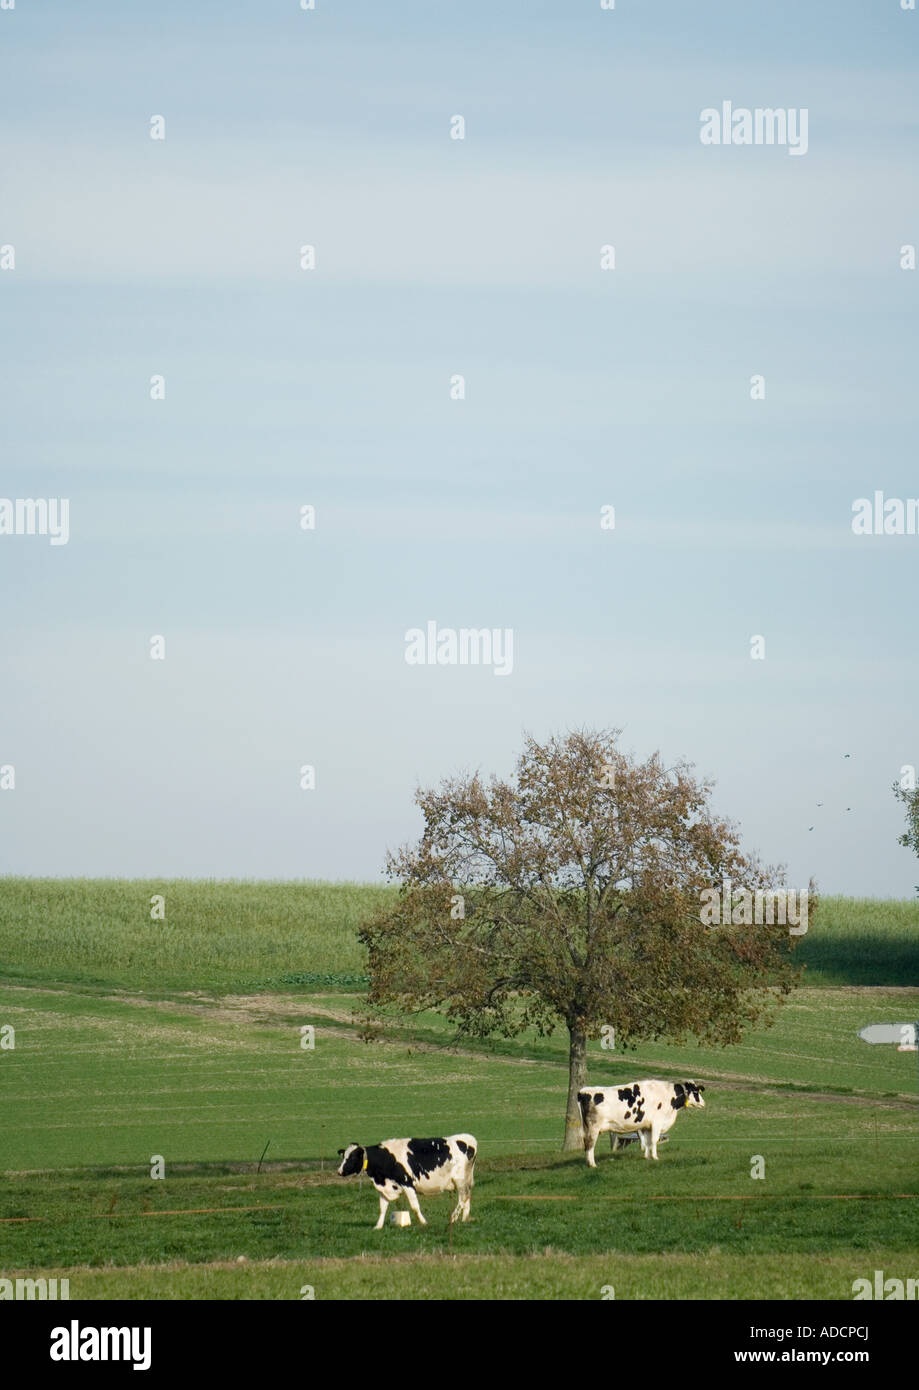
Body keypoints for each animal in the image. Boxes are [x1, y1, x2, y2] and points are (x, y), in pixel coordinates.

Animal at [337, 1134, 477, 1229]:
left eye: (352, 1157)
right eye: (344, 1156)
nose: (339, 1171)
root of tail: (468, 1138)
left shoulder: (407, 1184)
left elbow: (415, 1206)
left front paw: (424, 1222)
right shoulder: (384, 1187)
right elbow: (382, 1208)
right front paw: (378, 1226)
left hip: (459, 1179)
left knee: (463, 1197)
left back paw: (453, 1218)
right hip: (466, 1180)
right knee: (468, 1196)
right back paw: (465, 1218)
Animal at [577, 1081, 706, 1167]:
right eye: (696, 1092)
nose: (704, 1103)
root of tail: (583, 1091)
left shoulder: (647, 1126)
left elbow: (647, 1141)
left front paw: (647, 1157)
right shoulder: (657, 1122)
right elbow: (654, 1140)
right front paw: (655, 1157)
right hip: (593, 1127)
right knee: (590, 1144)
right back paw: (592, 1164)